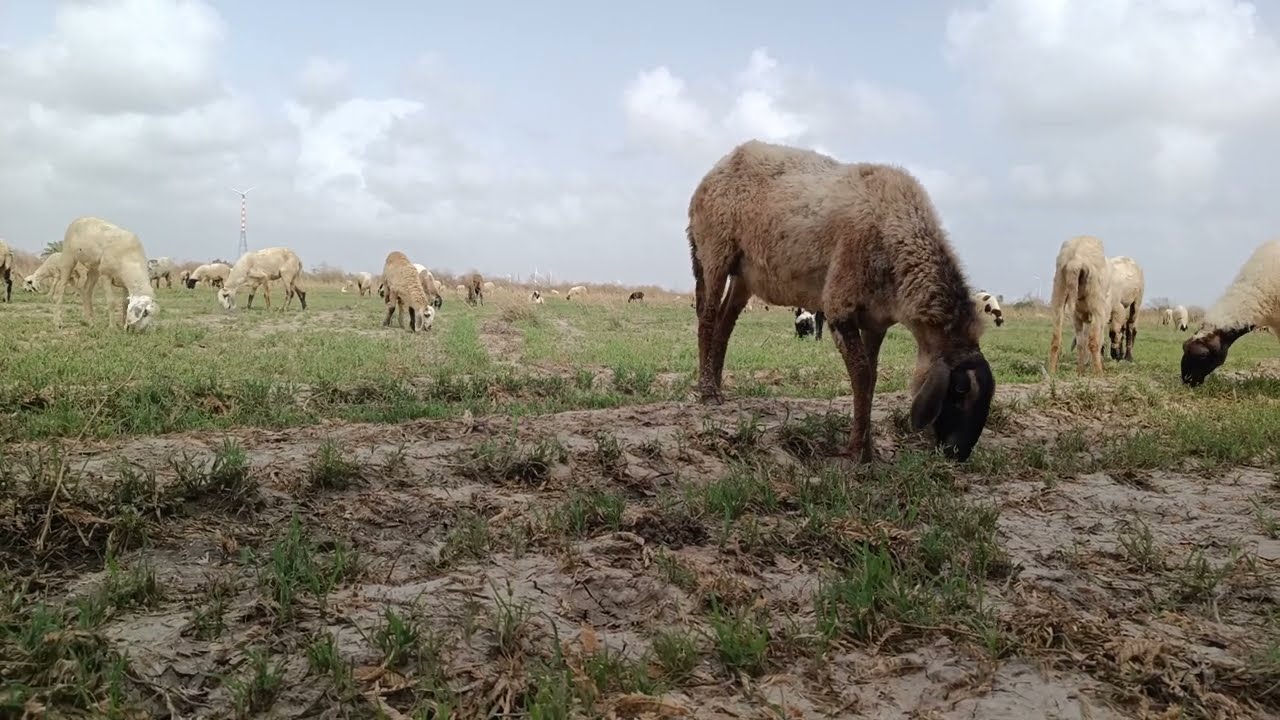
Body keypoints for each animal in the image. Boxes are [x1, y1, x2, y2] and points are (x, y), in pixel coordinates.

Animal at [686, 139, 995, 464]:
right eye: (960, 391)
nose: (959, 454)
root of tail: (715, 171)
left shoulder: (876, 320)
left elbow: (871, 377)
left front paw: (866, 447)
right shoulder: (839, 306)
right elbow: (861, 376)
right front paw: (859, 452)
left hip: (745, 273)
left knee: (724, 323)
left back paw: (717, 385)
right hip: (714, 250)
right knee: (707, 318)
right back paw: (707, 391)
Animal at [1047, 235, 1111, 375]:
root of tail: (1075, 262)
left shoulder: (1077, 316)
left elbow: (1081, 343)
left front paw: (1080, 372)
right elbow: (1096, 340)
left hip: (1059, 285)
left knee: (1056, 339)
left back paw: (1052, 373)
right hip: (1096, 299)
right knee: (1093, 341)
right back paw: (1099, 373)